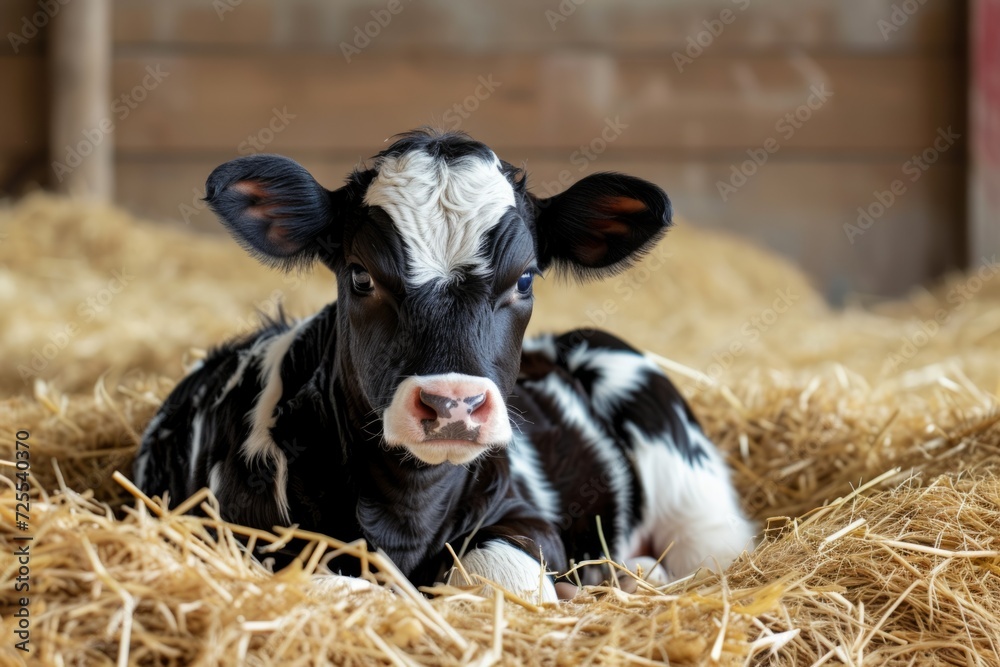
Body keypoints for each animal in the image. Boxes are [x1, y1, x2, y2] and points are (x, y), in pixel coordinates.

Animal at [133, 129, 755, 601]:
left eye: (524, 279)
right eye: (361, 276)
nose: (452, 403)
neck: (409, 505)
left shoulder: (527, 517)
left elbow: (501, 575)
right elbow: (338, 590)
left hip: (687, 479)